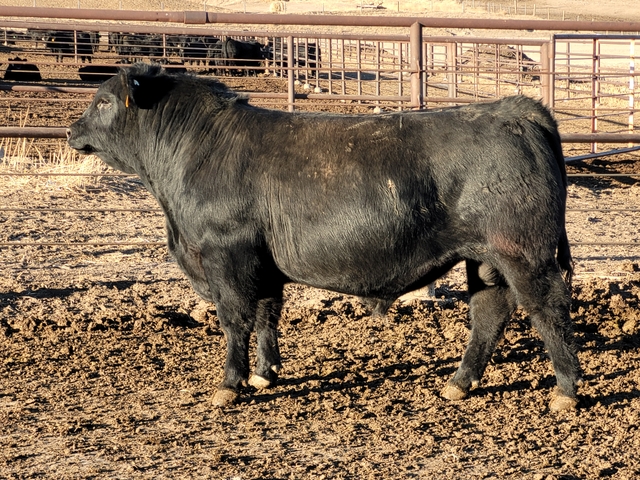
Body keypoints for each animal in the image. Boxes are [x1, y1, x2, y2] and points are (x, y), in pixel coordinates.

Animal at [66, 63, 582, 411]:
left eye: (103, 102)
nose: (72, 130)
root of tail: (514, 109)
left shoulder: (226, 256)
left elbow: (235, 319)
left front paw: (230, 384)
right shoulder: (263, 264)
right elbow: (267, 315)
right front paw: (265, 374)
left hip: (524, 253)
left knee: (549, 309)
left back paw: (566, 390)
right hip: (487, 258)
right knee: (490, 312)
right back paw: (459, 381)